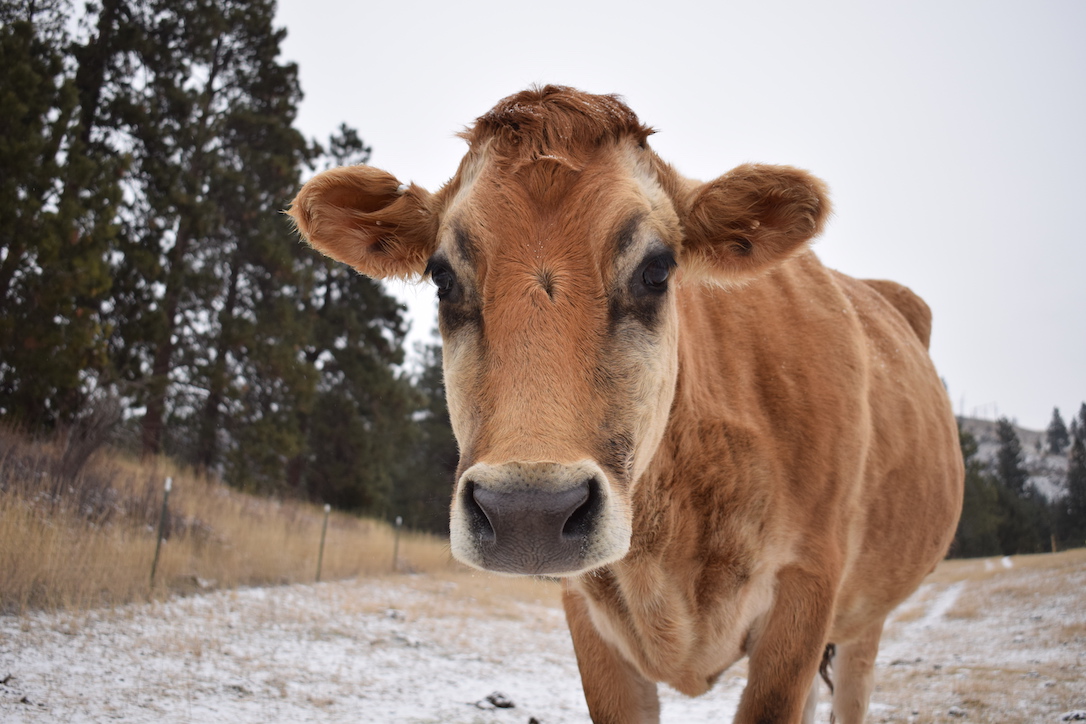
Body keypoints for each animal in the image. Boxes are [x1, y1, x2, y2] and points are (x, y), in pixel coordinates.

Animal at [288, 86, 964, 724]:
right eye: (443, 276)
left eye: (657, 269)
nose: (528, 512)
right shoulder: (588, 612)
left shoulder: (806, 588)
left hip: (865, 618)